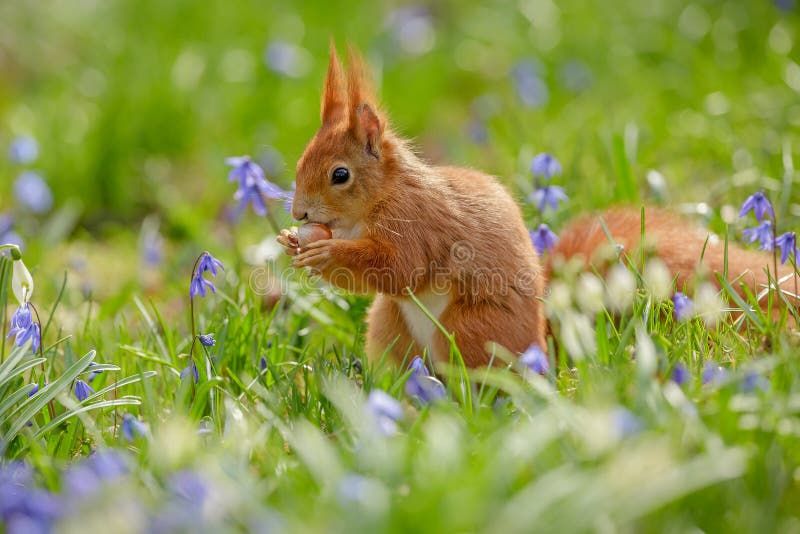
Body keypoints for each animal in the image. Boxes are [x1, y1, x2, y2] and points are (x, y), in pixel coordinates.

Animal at [277, 44, 793, 368]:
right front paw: (291, 244)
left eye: (340, 175)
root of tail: (543, 346)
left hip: (471, 328)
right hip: (390, 328)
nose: (299, 214)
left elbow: (400, 267)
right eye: (301, 160)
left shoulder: (420, 222)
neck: (377, 201)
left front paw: (325, 253)